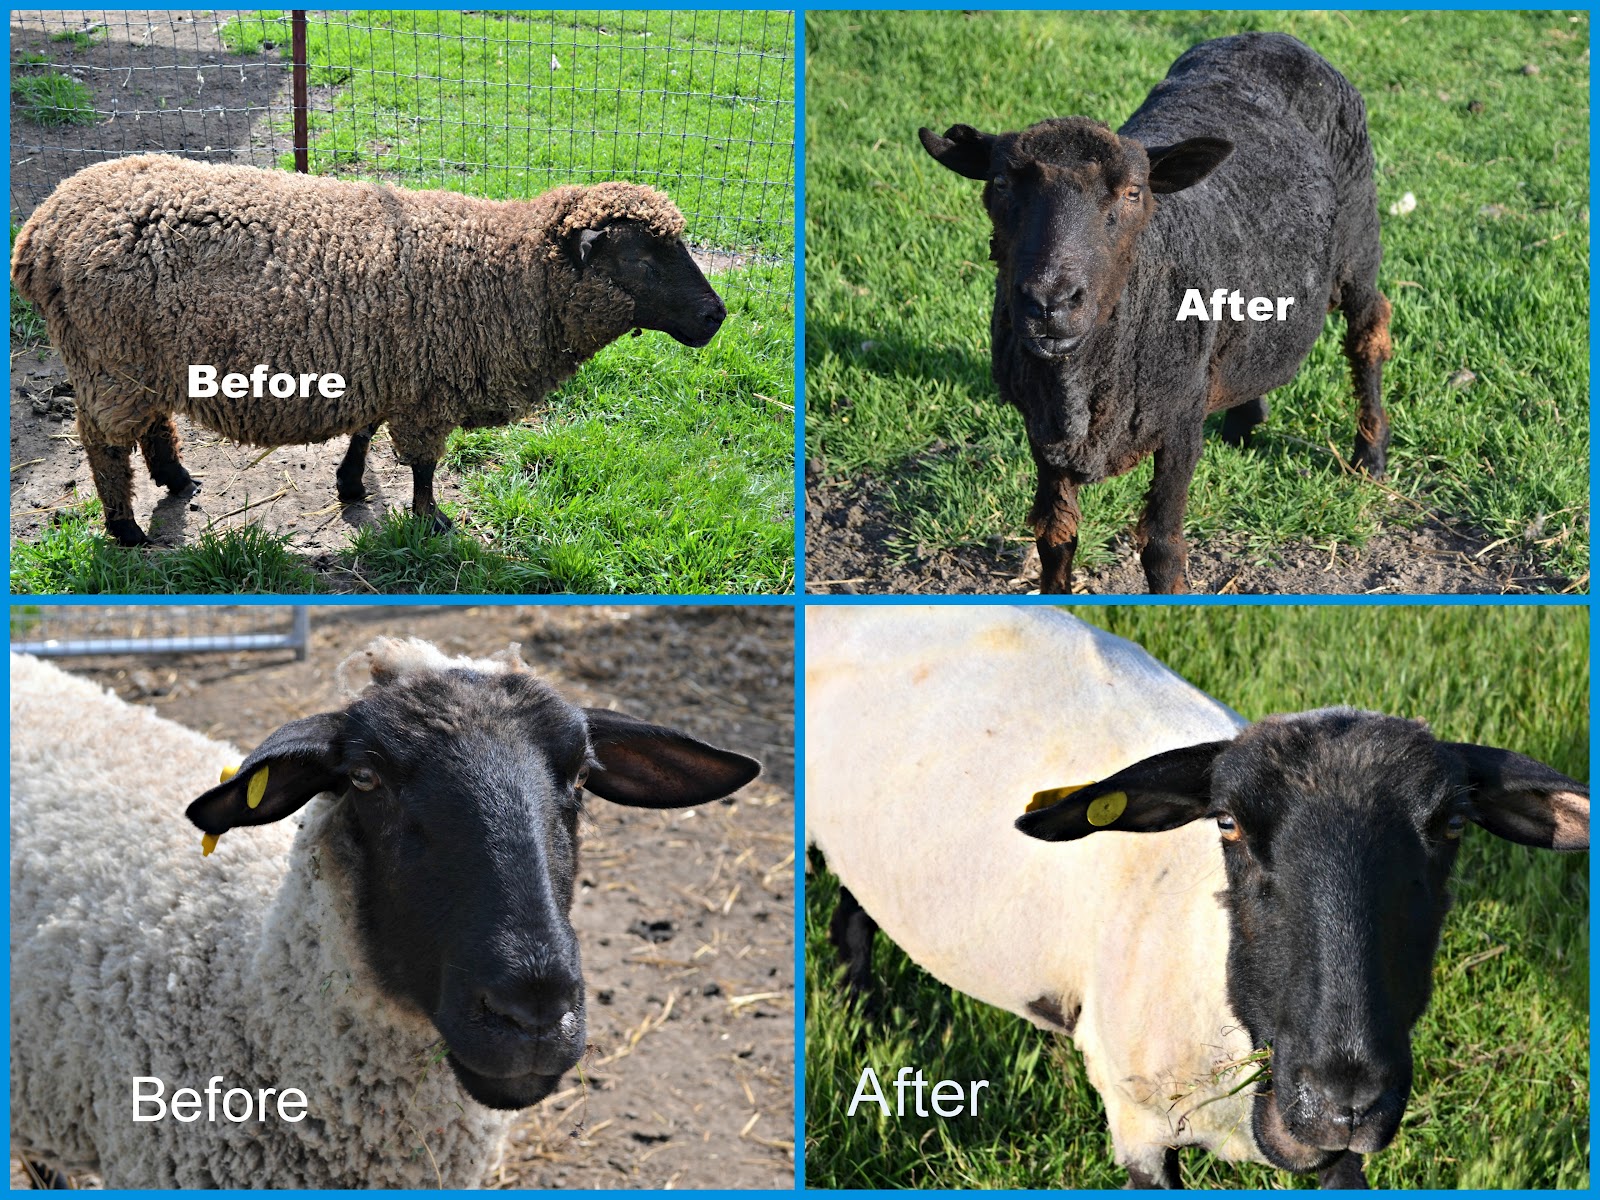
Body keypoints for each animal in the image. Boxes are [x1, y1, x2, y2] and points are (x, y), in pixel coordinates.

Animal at [10, 154, 728, 546]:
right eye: (643, 258)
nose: (715, 316)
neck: (508, 272)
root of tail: (42, 228)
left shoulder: (386, 366)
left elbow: (365, 433)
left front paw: (352, 486)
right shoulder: (430, 388)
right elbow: (423, 464)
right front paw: (430, 520)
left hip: (140, 362)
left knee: (152, 424)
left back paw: (177, 479)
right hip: (109, 359)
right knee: (104, 444)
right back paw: (126, 528)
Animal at [919, 33, 1390, 593]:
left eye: (1133, 192)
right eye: (1000, 185)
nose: (1050, 303)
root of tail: (1270, 37)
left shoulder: (1181, 422)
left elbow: (1163, 548)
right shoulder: (1041, 428)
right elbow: (1055, 540)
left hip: (1358, 240)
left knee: (1368, 332)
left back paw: (1370, 457)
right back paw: (1244, 424)